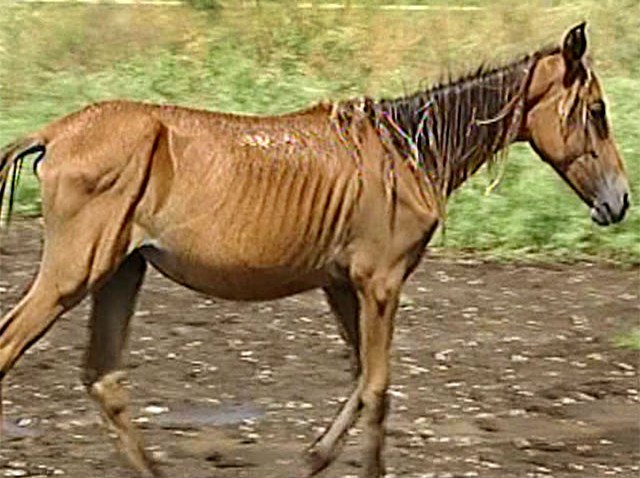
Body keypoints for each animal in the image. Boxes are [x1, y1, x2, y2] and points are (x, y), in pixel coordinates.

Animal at [0, 23, 629, 478]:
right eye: (596, 110)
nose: (619, 201)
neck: (408, 153)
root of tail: (53, 133)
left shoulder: (343, 285)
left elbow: (364, 379)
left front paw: (315, 456)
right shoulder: (380, 283)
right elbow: (376, 389)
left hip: (121, 272)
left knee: (104, 378)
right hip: (75, 273)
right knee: (19, 347)